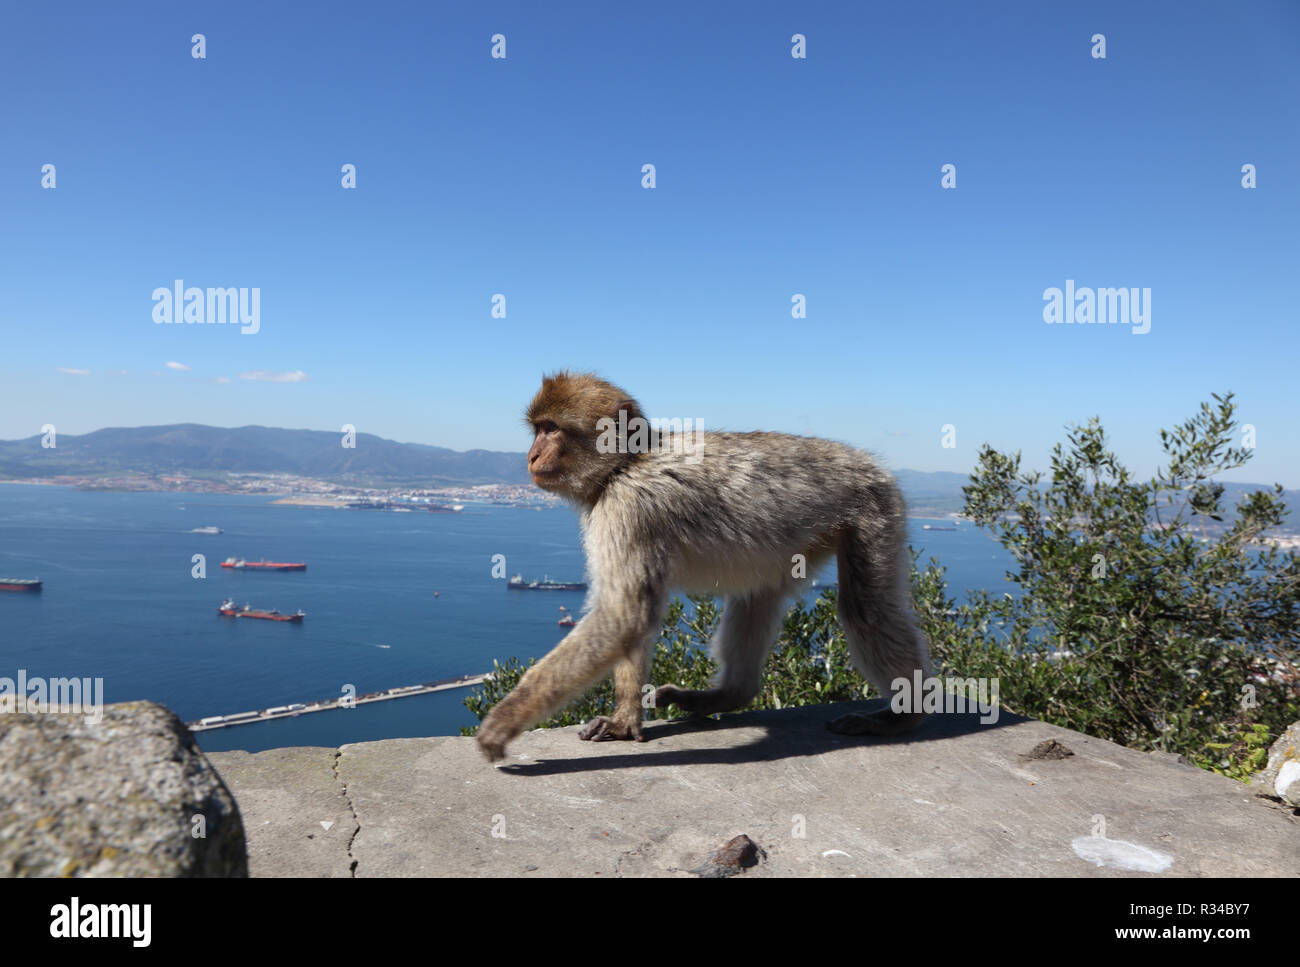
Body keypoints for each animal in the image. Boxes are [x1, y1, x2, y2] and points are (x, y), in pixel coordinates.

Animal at [475, 371, 933, 762]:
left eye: (552, 429)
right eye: (537, 429)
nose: (532, 455)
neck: (625, 464)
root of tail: (870, 463)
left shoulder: (626, 508)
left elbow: (625, 615)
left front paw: (505, 721)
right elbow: (632, 617)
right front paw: (625, 720)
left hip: (872, 510)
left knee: (866, 610)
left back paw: (903, 714)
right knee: (756, 596)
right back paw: (729, 695)